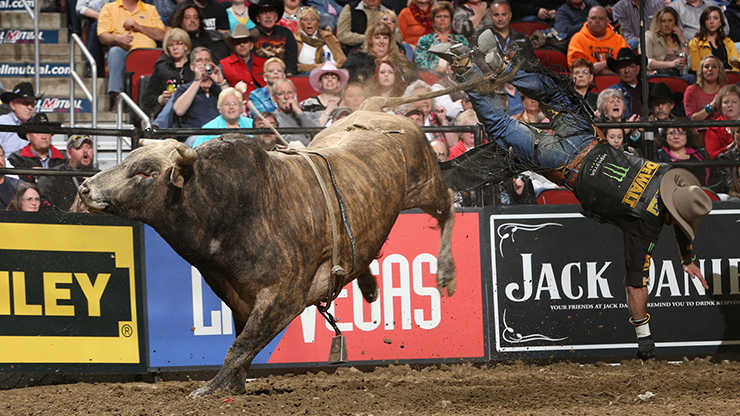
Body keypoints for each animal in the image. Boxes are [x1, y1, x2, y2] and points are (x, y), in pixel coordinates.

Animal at [75, 108, 457, 396]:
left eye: (145, 171)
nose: (85, 188)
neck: (228, 206)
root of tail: (379, 112)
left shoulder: (283, 297)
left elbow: (242, 345)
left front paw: (210, 388)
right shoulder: (236, 293)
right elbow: (242, 341)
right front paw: (233, 386)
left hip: (425, 184)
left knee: (448, 206)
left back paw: (445, 272)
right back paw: (369, 285)